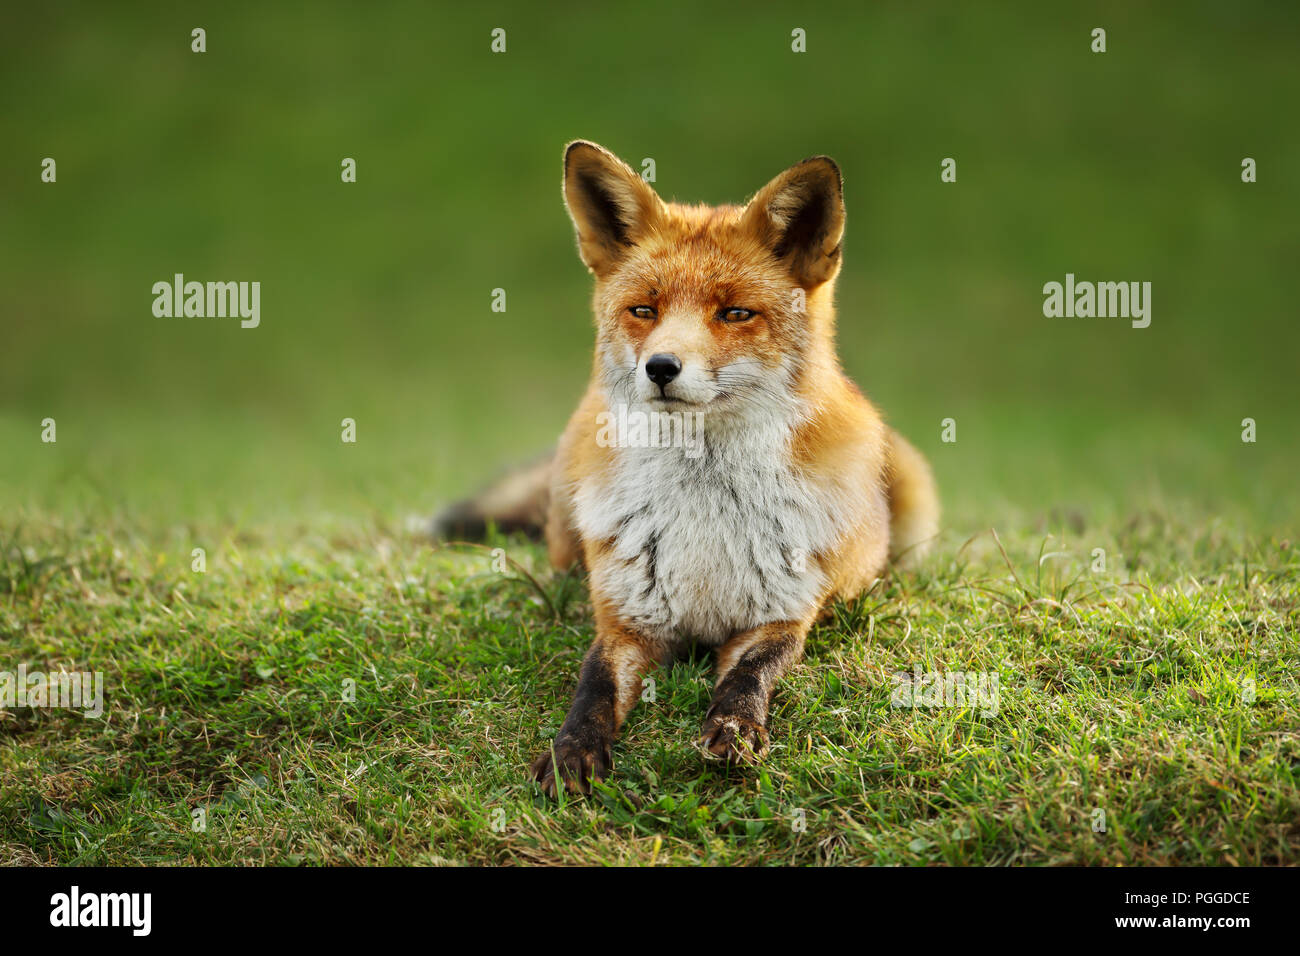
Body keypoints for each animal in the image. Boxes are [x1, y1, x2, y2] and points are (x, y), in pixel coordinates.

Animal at [434, 140, 940, 797]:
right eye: (644, 310)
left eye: (735, 313)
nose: (661, 367)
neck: (705, 512)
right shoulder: (627, 620)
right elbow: (593, 685)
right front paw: (573, 750)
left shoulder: (783, 615)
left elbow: (750, 675)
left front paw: (735, 729)